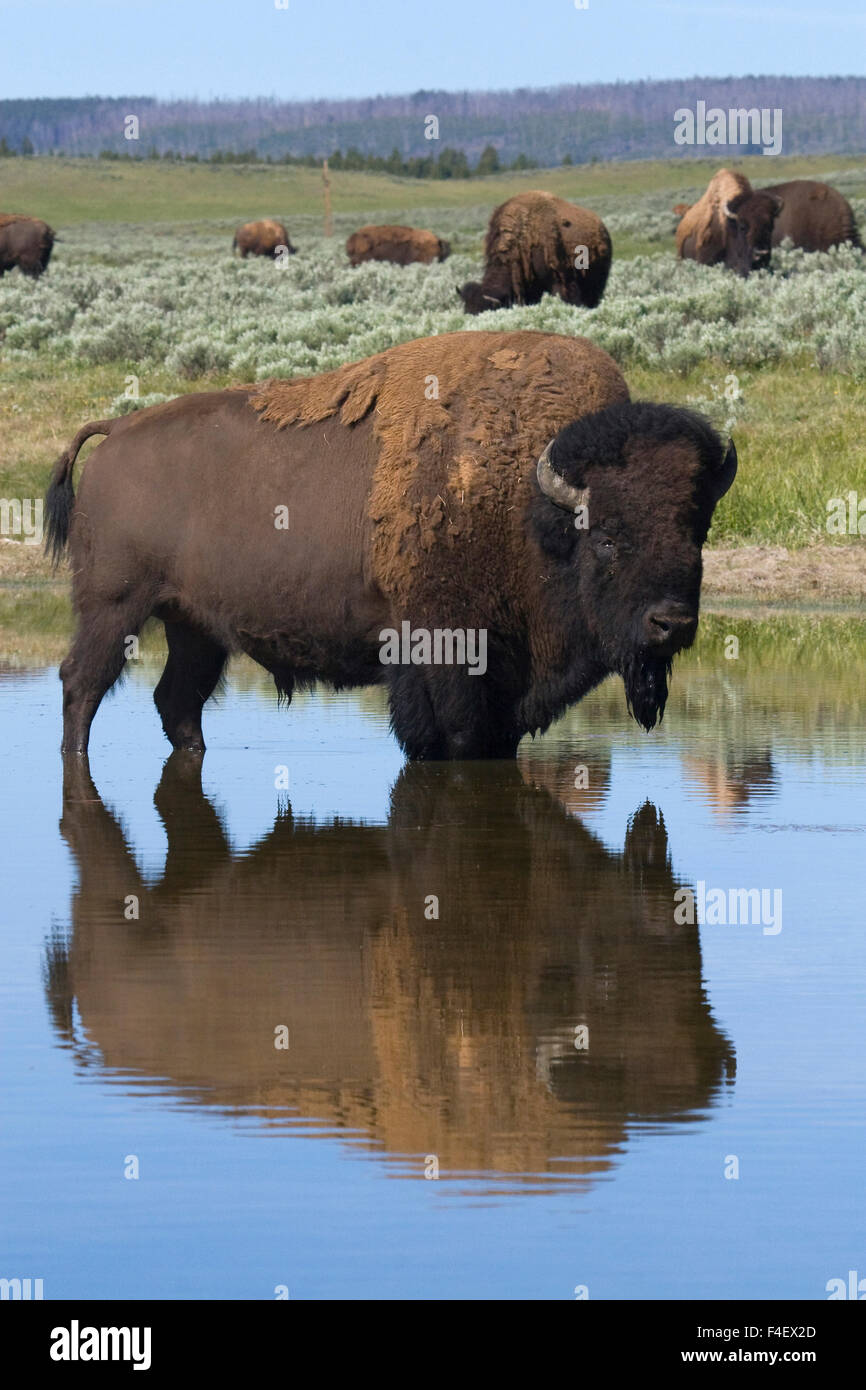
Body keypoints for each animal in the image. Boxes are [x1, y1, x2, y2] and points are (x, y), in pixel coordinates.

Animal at [44, 330, 737, 760]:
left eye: (696, 533)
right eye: (609, 538)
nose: (671, 624)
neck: (527, 505)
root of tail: (116, 430)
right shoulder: (442, 661)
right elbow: (448, 739)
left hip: (193, 626)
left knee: (176, 701)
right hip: (114, 608)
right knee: (82, 683)